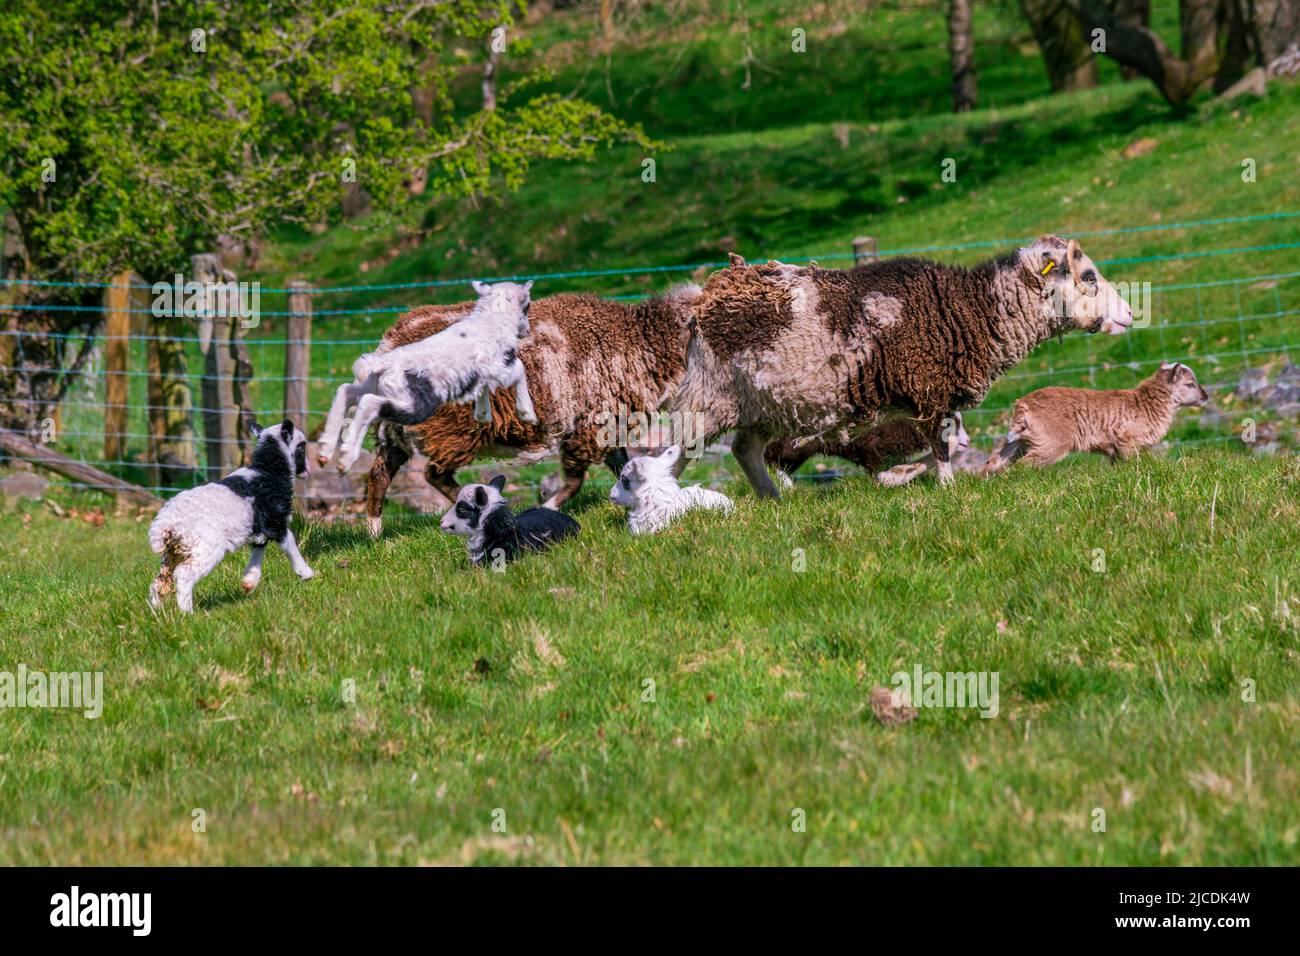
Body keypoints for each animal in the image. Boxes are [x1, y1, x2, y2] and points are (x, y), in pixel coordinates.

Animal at [148, 420, 312, 613]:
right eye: (302, 447)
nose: (308, 469)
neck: (269, 472)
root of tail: (165, 523)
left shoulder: (259, 530)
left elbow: (257, 555)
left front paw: (249, 582)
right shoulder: (275, 522)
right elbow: (290, 544)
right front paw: (305, 572)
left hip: (174, 552)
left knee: (159, 581)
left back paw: (156, 611)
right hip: (206, 548)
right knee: (184, 575)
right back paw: (187, 612)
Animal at [318, 280, 536, 474]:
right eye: (527, 307)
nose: (527, 331)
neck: (491, 321)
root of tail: (384, 363)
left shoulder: (481, 377)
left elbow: (482, 391)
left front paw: (483, 415)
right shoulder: (498, 368)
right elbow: (519, 369)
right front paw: (527, 413)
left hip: (375, 384)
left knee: (346, 391)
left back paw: (326, 450)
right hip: (413, 403)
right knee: (369, 403)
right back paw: (346, 457)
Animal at [362, 287, 699, 537]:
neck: (634, 343)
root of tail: (389, 343)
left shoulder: (603, 426)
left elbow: (620, 467)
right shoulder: (586, 428)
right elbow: (575, 481)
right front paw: (549, 507)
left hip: (395, 430)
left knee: (379, 474)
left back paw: (376, 533)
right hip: (452, 428)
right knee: (434, 474)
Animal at [670, 235, 1134, 499]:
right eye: (1089, 276)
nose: (1130, 313)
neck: (967, 309)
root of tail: (710, 294)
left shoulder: (931, 394)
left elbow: (934, 450)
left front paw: (899, 477)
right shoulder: (930, 388)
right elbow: (941, 448)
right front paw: (946, 490)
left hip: (765, 405)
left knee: (744, 449)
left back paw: (772, 500)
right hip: (709, 398)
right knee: (676, 449)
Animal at [982, 362, 1209, 473]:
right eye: (1189, 384)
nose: (1206, 397)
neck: (1148, 404)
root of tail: (1023, 404)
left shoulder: (1116, 448)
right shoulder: (1127, 441)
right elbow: (1134, 463)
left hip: (1022, 438)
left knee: (998, 455)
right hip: (1051, 442)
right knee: (1025, 465)